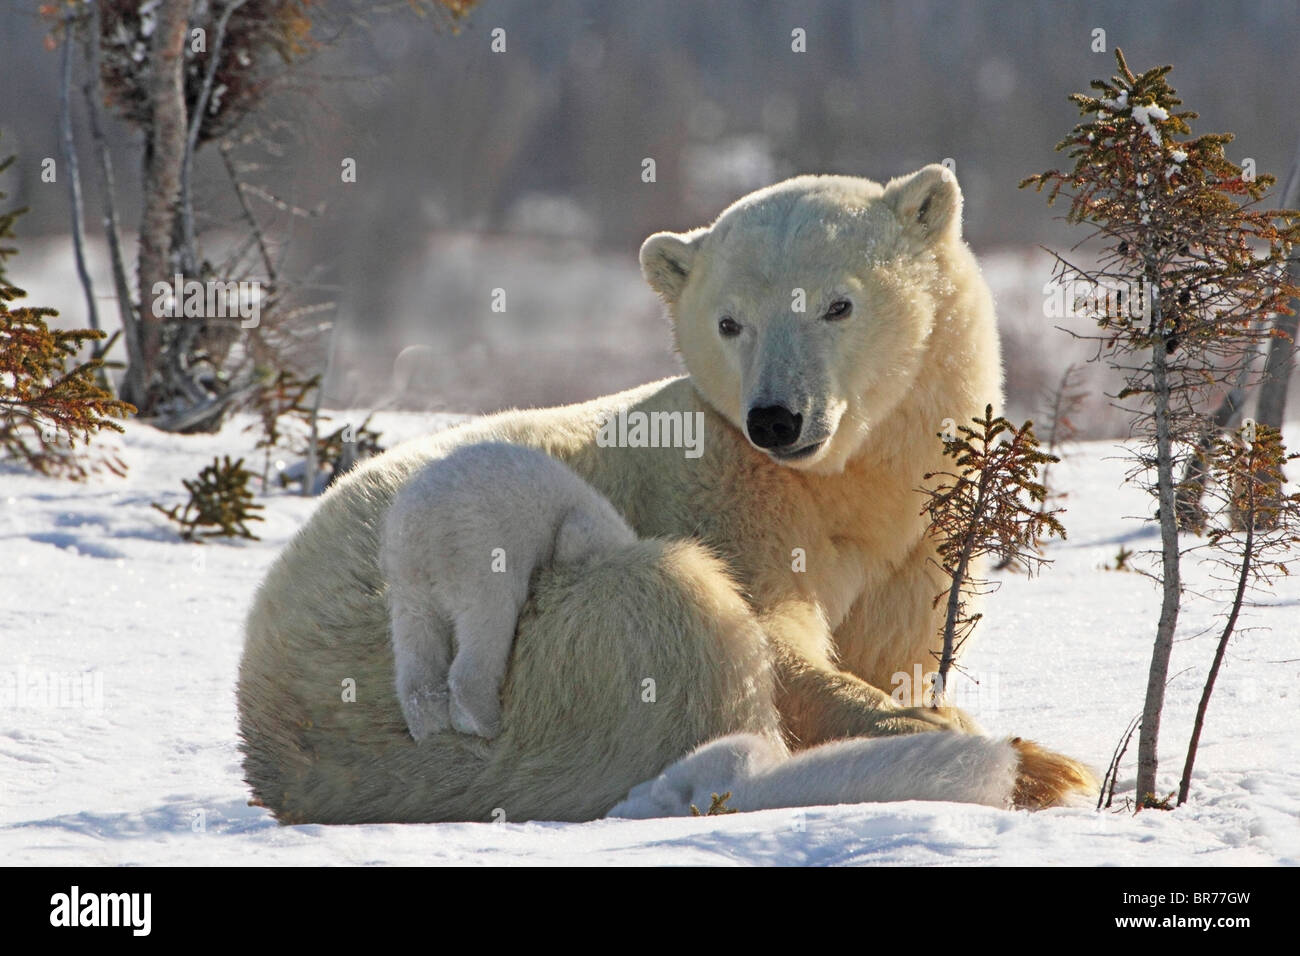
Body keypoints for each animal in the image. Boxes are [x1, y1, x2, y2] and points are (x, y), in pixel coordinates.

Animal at [380, 442, 636, 741]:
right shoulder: (584, 522)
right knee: (487, 626)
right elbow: (573, 538)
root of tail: (420, 528)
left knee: (416, 641)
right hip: (479, 553)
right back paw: (484, 721)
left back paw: (431, 726)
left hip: (408, 580)